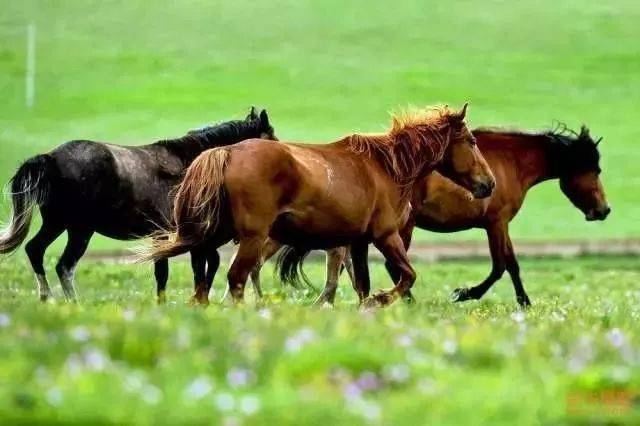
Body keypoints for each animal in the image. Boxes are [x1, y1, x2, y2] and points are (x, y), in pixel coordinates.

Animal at [0, 107, 276, 302]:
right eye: (271, 137)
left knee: (35, 250)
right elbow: (177, 271)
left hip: (57, 223)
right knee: (64, 266)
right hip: (79, 229)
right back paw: (72, 303)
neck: (191, 164)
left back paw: (46, 298)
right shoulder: (174, 235)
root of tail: (50, 158)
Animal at [141, 104, 496, 308]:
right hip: (253, 238)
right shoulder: (386, 236)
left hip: (214, 235)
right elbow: (407, 276)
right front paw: (382, 300)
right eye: (472, 141)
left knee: (207, 278)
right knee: (237, 278)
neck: (387, 167)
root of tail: (226, 152)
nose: (488, 184)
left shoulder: (358, 242)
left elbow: (361, 285)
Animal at [270, 124, 608, 307]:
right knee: (394, 268)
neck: (510, 162)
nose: (604, 210)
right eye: (594, 169)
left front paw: (524, 303)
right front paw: (465, 293)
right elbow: (501, 265)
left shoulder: (499, 225)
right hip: (403, 227)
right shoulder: (496, 222)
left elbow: (512, 264)